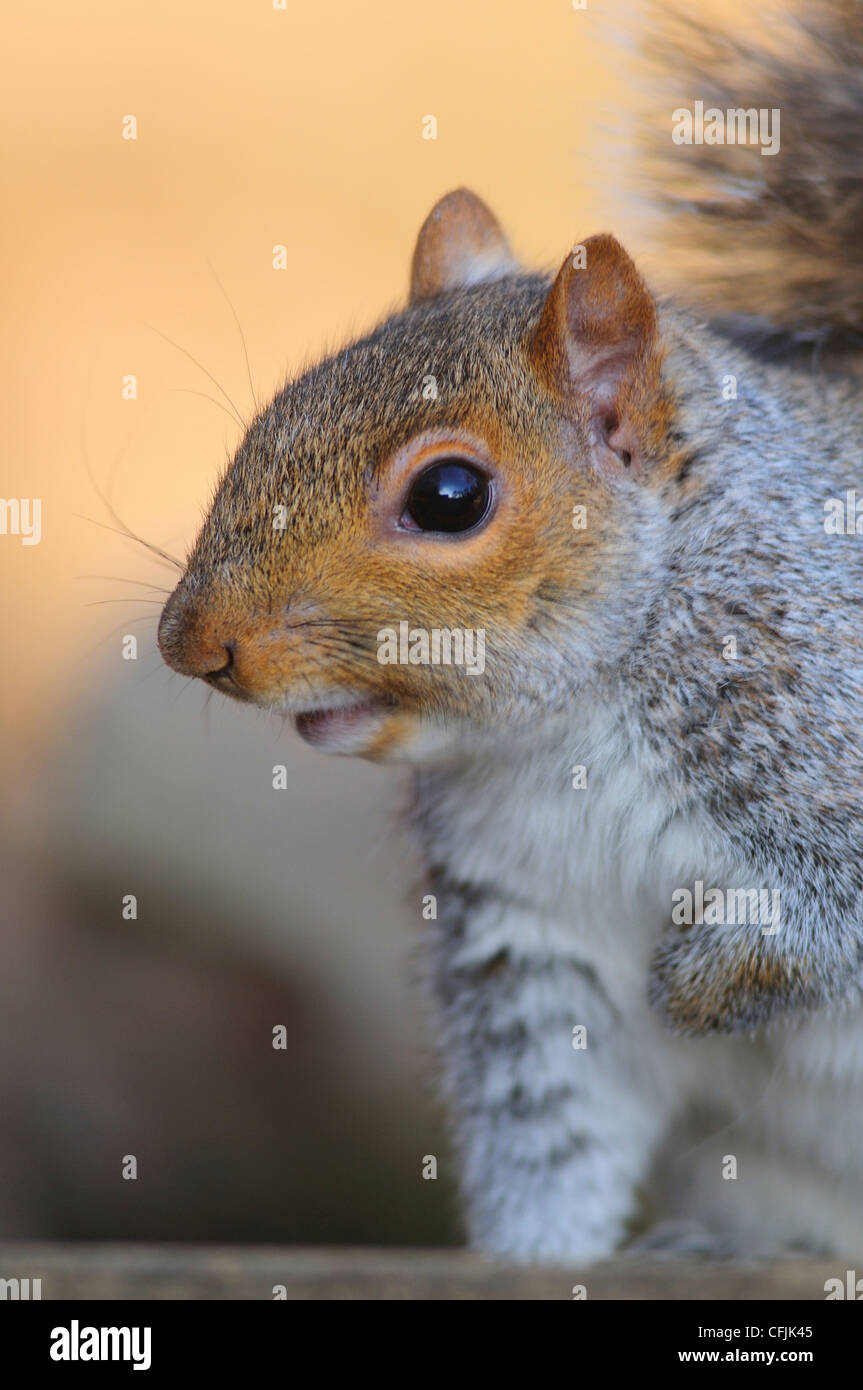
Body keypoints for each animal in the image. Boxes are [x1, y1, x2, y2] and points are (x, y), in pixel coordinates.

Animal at [158, 1, 863, 1261]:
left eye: (449, 497)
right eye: (266, 420)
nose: (190, 642)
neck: (569, 730)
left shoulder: (821, 705)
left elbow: (833, 915)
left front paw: (698, 980)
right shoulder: (530, 943)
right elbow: (549, 1124)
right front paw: (537, 1254)